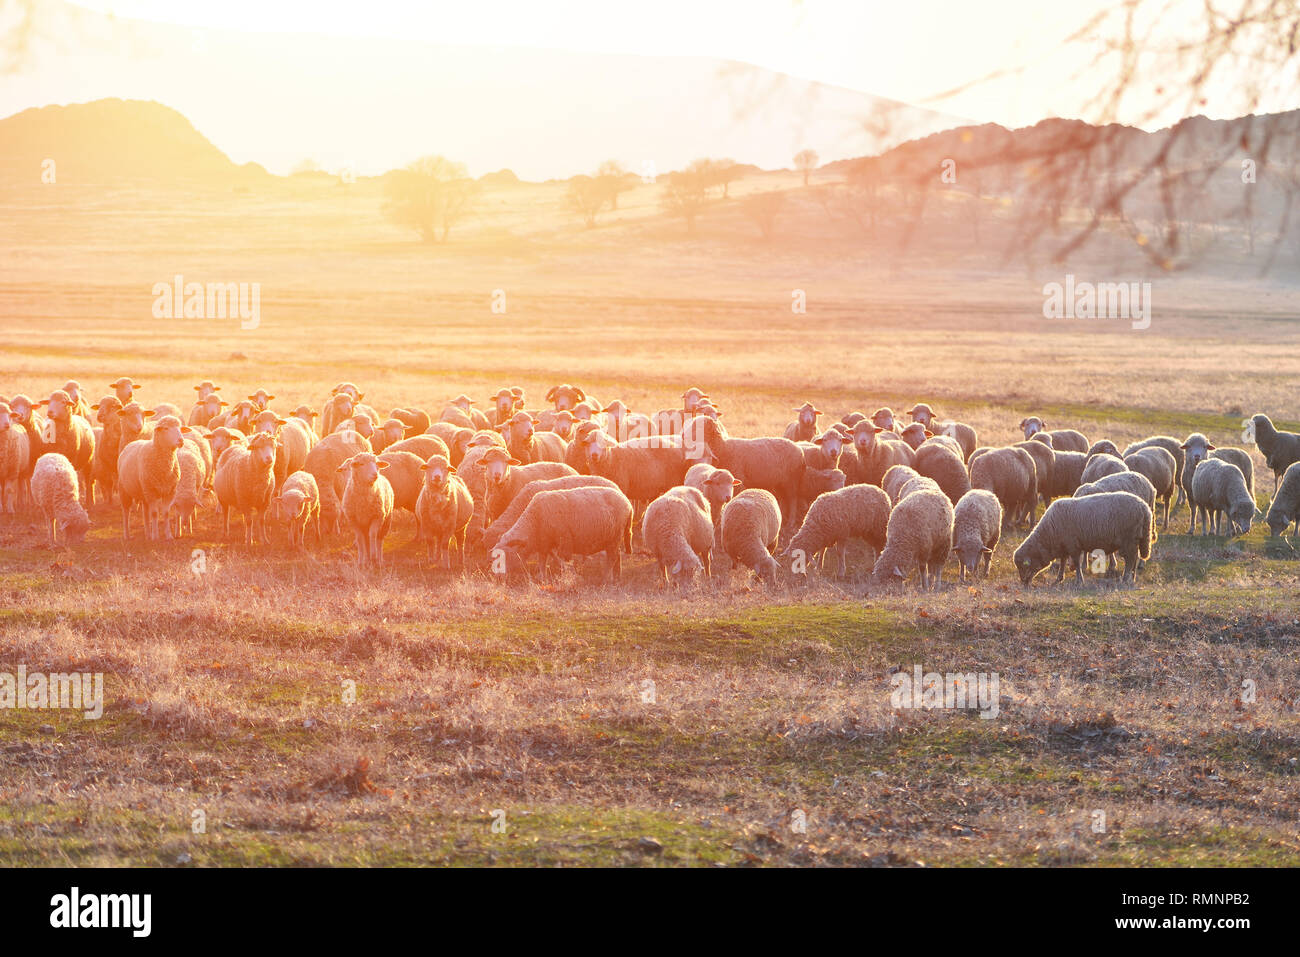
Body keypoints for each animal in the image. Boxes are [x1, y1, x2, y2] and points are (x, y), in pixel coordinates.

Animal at [495, 485, 634, 582]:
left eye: (505, 555)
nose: (498, 577)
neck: (534, 520)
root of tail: (628, 504)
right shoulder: (544, 544)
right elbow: (542, 562)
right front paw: (543, 579)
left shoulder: (564, 541)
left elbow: (563, 559)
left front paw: (566, 576)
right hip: (613, 539)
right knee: (617, 556)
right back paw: (616, 578)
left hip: (615, 537)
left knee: (612, 558)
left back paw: (605, 579)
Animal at [1013, 492, 1153, 585]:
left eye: (1023, 566)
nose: (1024, 583)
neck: (1049, 534)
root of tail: (1145, 508)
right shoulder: (1064, 546)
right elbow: (1063, 562)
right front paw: (1059, 578)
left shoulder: (1072, 545)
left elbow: (1076, 563)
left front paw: (1079, 580)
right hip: (1135, 539)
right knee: (1135, 558)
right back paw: (1132, 578)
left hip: (1129, 539)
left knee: (1130, 559)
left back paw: (1125, 578)